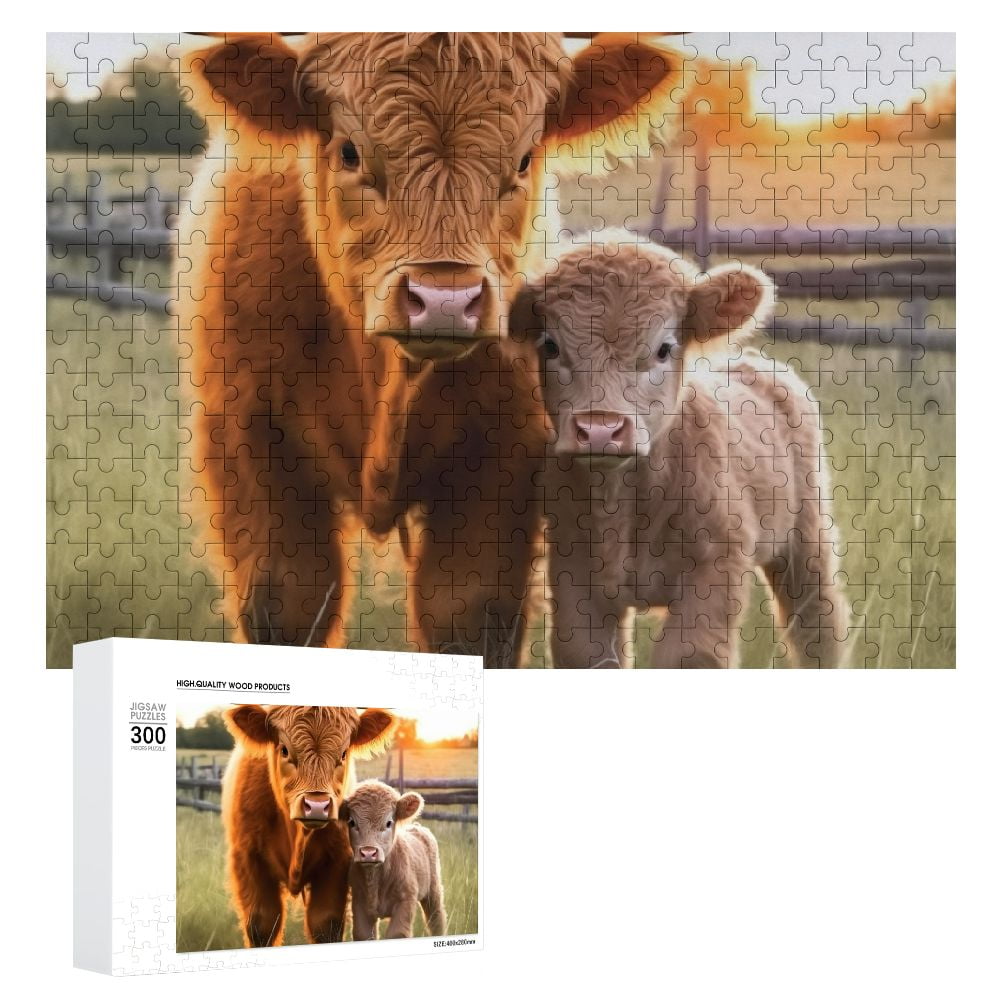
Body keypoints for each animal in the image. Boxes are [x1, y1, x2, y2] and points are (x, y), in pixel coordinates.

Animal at [178, 33, 681, 665]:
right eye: (349, 152)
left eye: (523, 159)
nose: (445, 299)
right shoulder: (249, 440)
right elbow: (289, 605)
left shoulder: (500, 459)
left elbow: (464, 613)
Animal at [221, 704, 395, 946]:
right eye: (284, 750)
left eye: (343, 753)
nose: (317, 806)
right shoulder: (249, 859)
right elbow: (262, 924)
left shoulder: (336, 863)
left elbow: (325, 923)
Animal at [511, 237, 848, 667]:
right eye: (551, 346)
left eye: (664, 349)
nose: (600, 429)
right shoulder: (574, 575)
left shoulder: (715, 569)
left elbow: (689, 657)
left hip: (807, 538)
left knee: (818, 624)